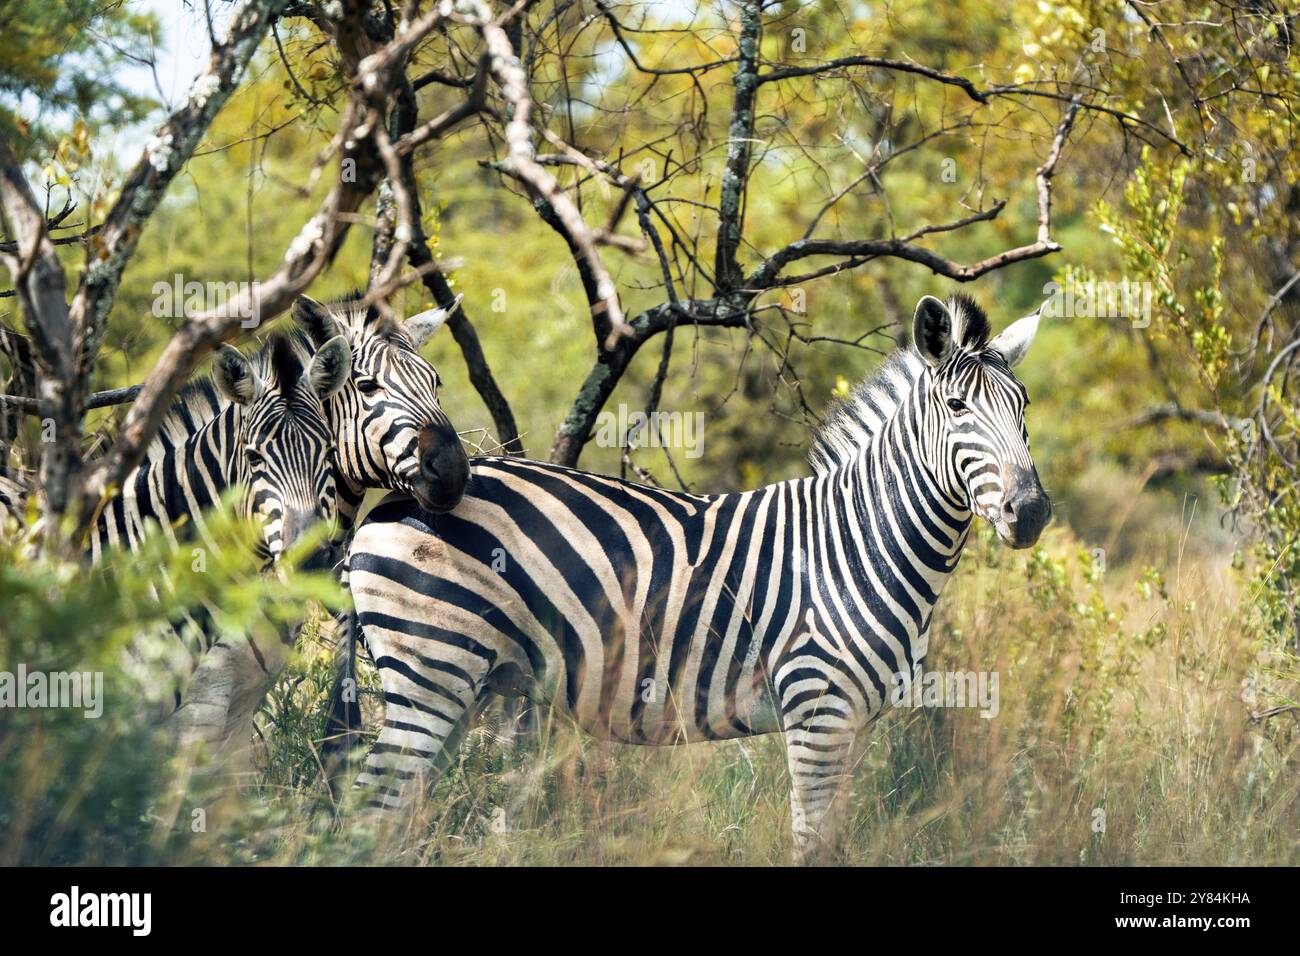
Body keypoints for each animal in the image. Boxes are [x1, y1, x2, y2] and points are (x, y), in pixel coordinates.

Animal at [342, 293, 1051, 857]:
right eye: (956, 406)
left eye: (1023, 407)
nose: (1033, 511)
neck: (859, 542)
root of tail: (397, 497)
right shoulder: (817, 710)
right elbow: (813, 843)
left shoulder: (858, 723)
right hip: (431, 667)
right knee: (371, 809)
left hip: (463, 681)